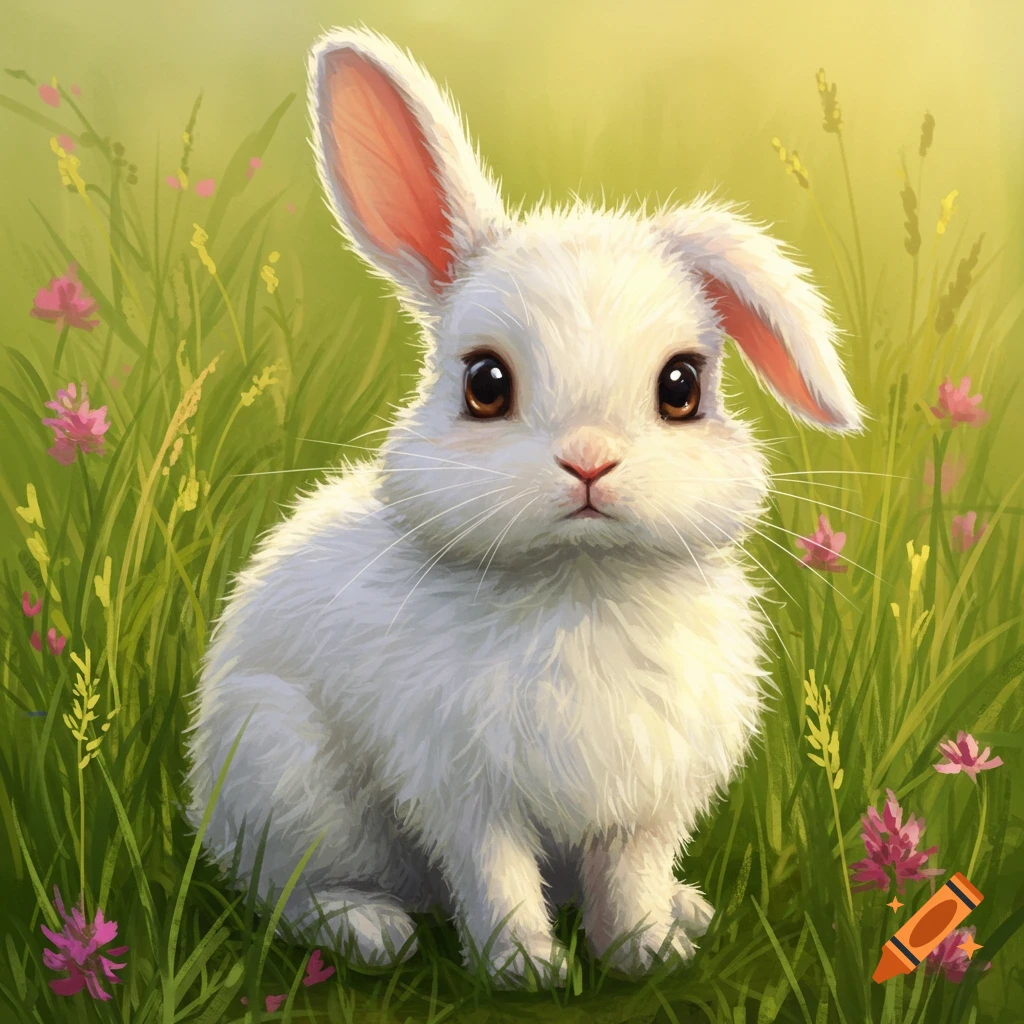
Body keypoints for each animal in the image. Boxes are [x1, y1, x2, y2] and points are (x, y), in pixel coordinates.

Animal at [184, 25, 863, 987]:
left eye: (683, 386)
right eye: (485, 383)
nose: (589, 461)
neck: (581, 585)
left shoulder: (646, 800)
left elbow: (631, 875)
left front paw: (645, 953)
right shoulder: (464, 790)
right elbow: (496, 873)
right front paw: (524, 971)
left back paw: (688, 912)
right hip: (286, 777)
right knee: (282, 887)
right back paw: (369, 930)